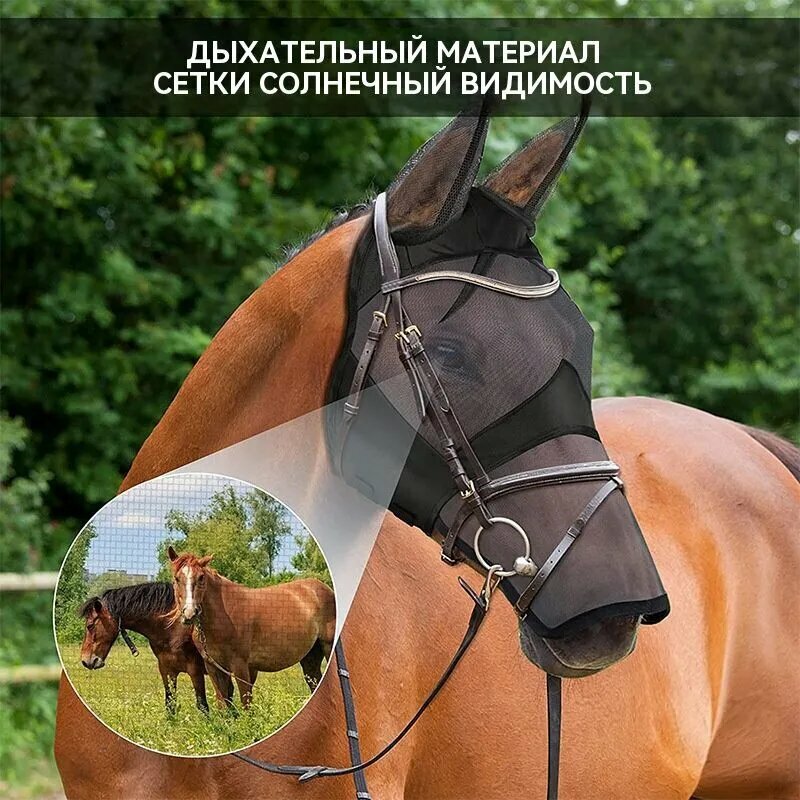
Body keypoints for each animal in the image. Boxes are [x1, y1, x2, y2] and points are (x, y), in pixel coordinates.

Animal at [77, 582, 210, 714]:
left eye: (90, 625)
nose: (85, 661)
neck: (174, 628)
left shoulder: (195, 670)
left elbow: (203, 706)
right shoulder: (167, 670)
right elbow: (170, 704)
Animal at [166, 547, 336, 709]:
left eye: (201, 577)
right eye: (176, 578)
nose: (189, 613)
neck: (222, 617)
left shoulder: (240, 665)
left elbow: (245, 703)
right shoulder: (213, 667)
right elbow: (223, 705)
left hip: (327, 647)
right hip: (310, 656)